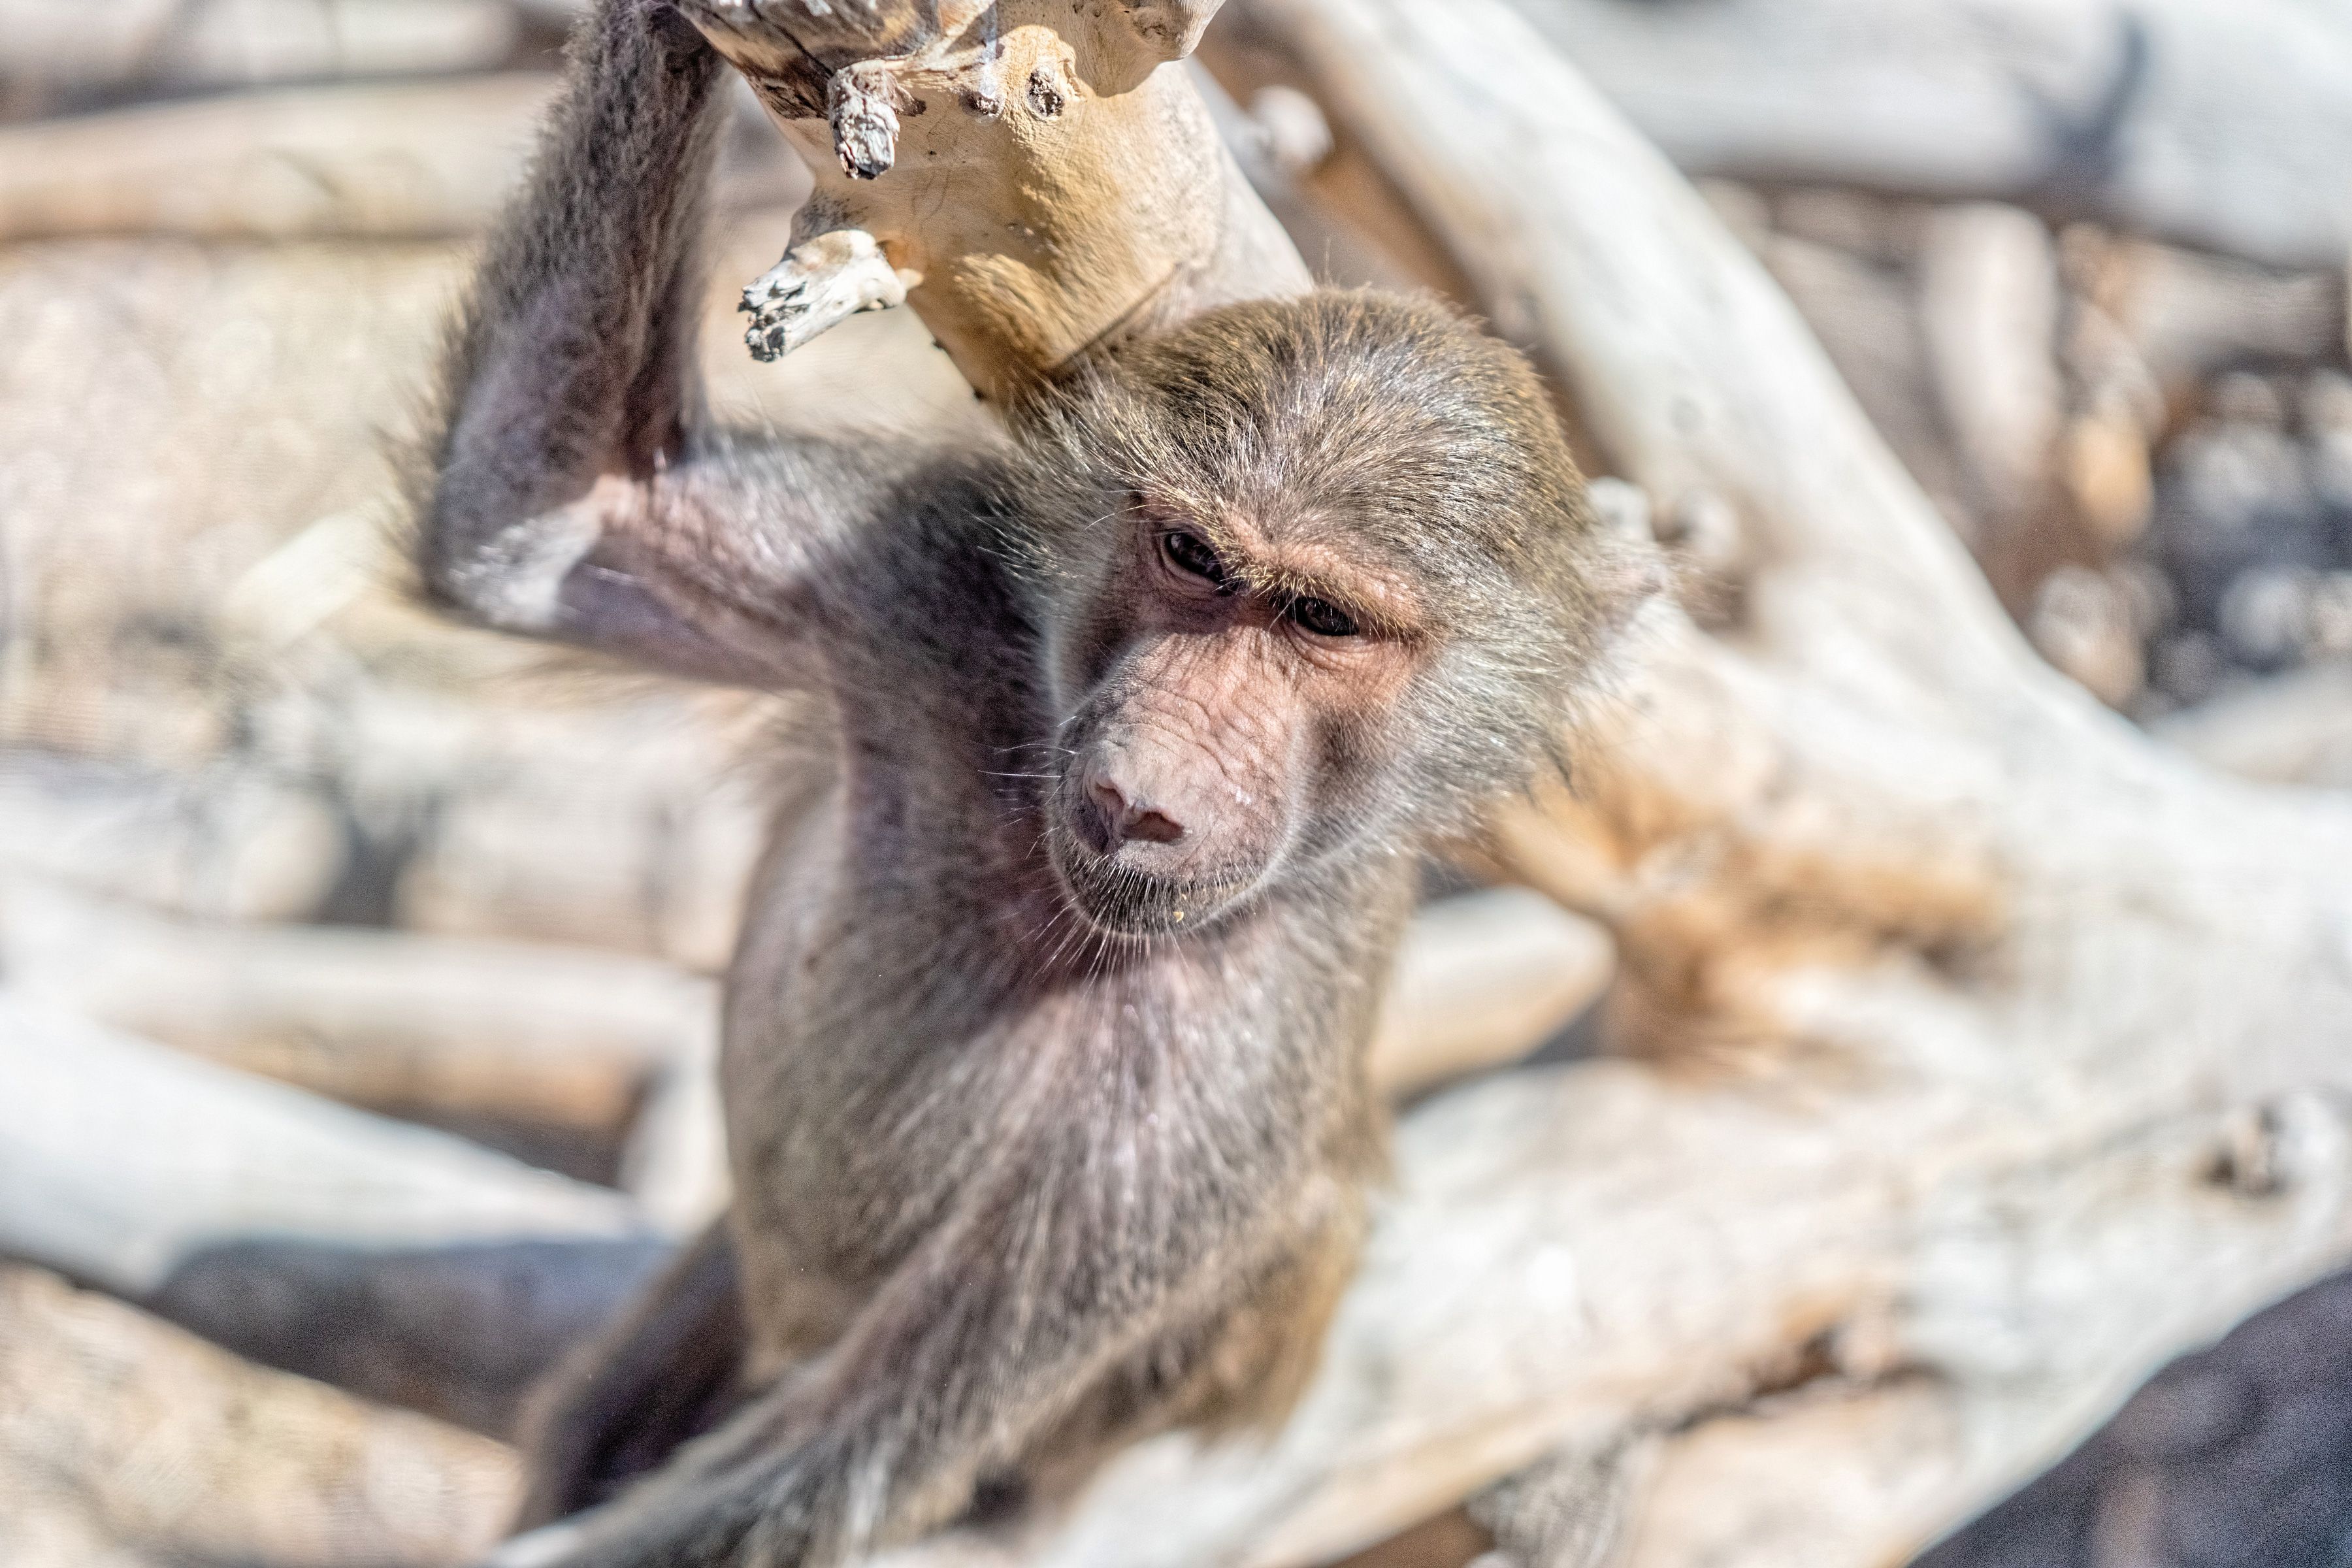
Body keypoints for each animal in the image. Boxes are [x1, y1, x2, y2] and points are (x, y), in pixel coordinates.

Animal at [418, 3, 1632, 1564]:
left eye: (1324, 622)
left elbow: (838, 1459)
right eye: (1194, 559)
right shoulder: (927, 579)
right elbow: (533, 509)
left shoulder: (1208, 1106)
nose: (1147, 785)